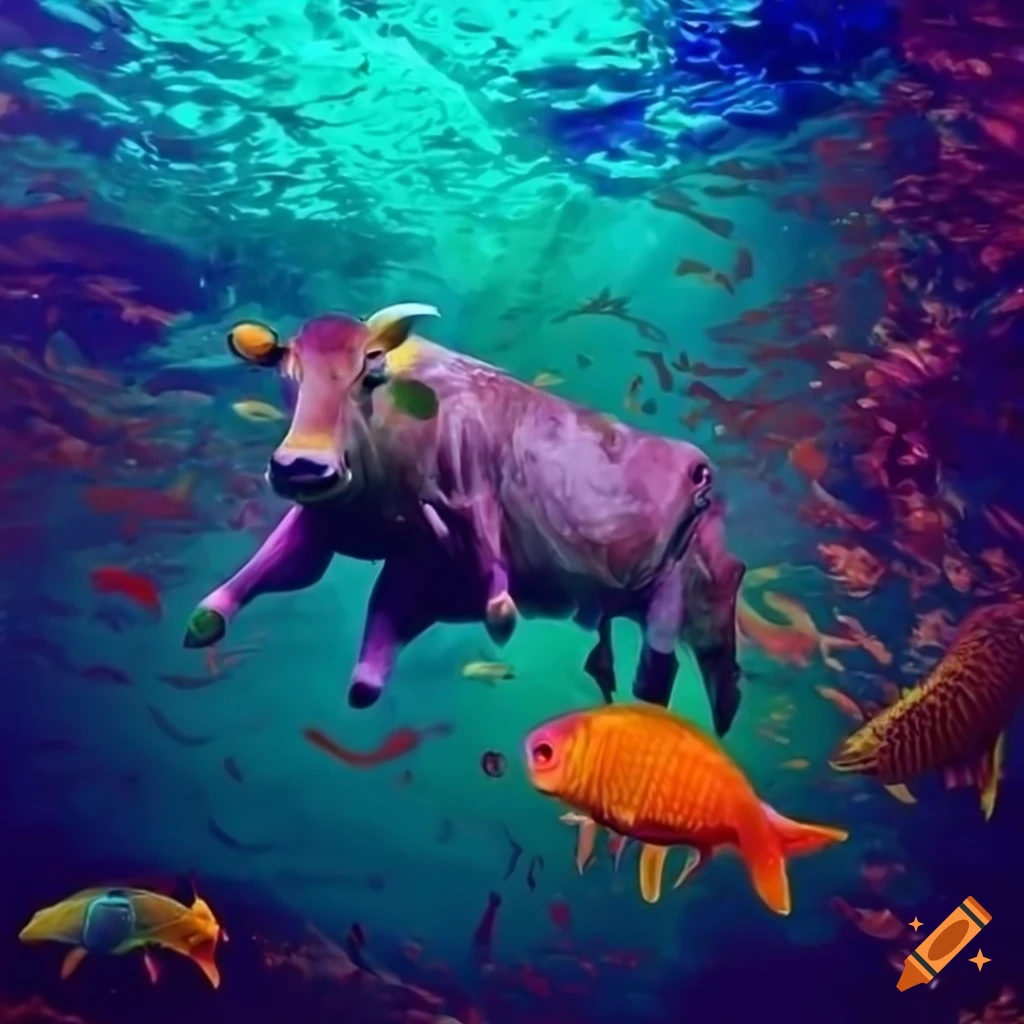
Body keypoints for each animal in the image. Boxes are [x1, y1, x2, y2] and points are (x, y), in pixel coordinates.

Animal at [183, 304, 747, 734]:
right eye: (288, 377)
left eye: (370, 374)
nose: (301, 465)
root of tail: (703, 470)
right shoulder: (360, 543)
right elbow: (256, 599)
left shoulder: (465, 514)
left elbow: (497, 607)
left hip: (672, 597)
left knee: (661, 672)